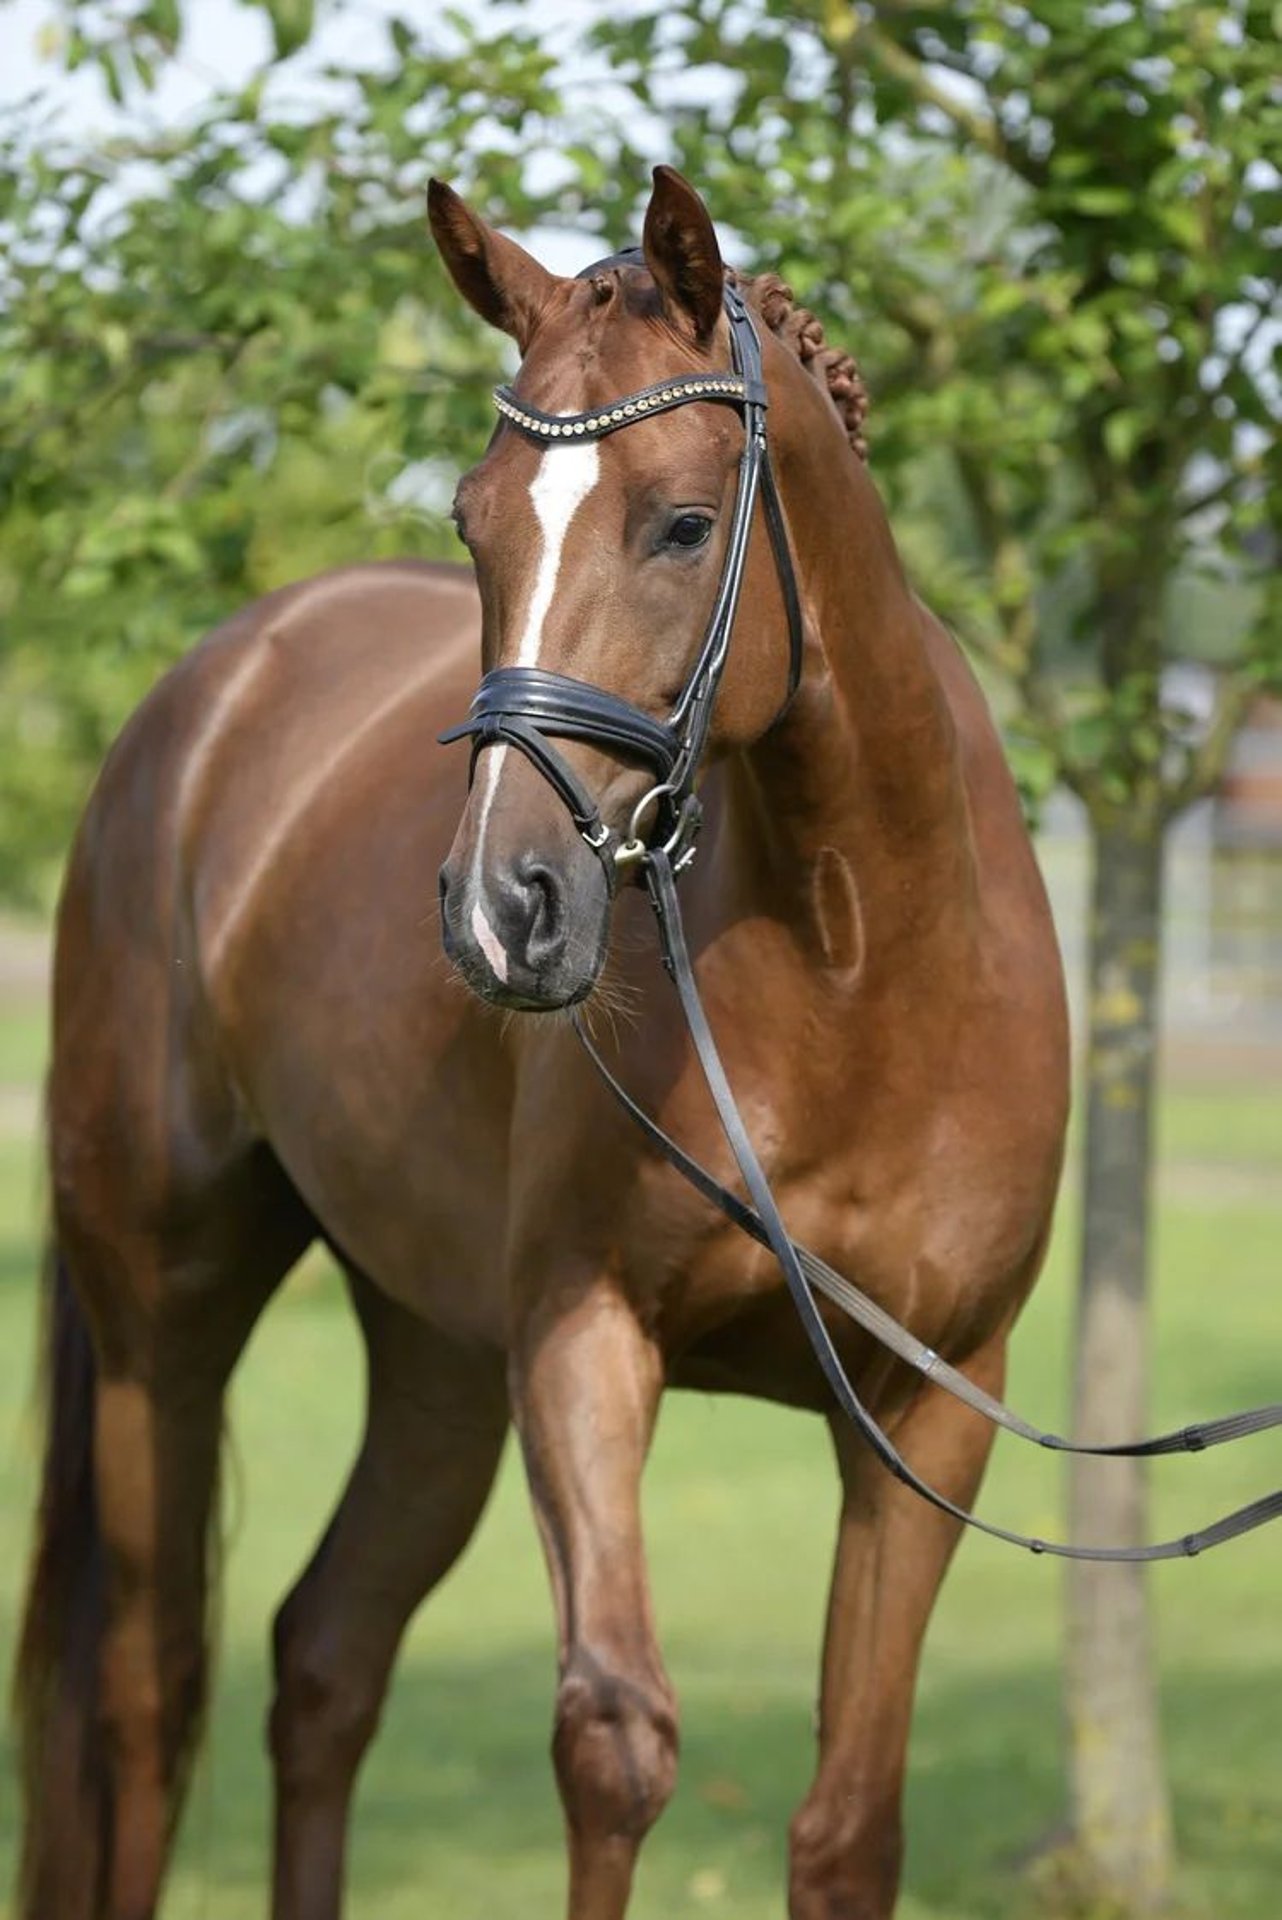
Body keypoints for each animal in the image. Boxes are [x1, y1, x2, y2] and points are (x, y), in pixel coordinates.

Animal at [14, 166, 1070, 1920]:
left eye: (685, 524)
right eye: (474, 521)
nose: (500, 909)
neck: (860, 961)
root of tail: (213, 691)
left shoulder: (932, 1410)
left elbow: (847, 1824)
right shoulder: (586, 1339)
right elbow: (614, 1743)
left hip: (436, 1353)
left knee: (324, 1659)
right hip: (169, 1306)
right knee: (145, 1695)